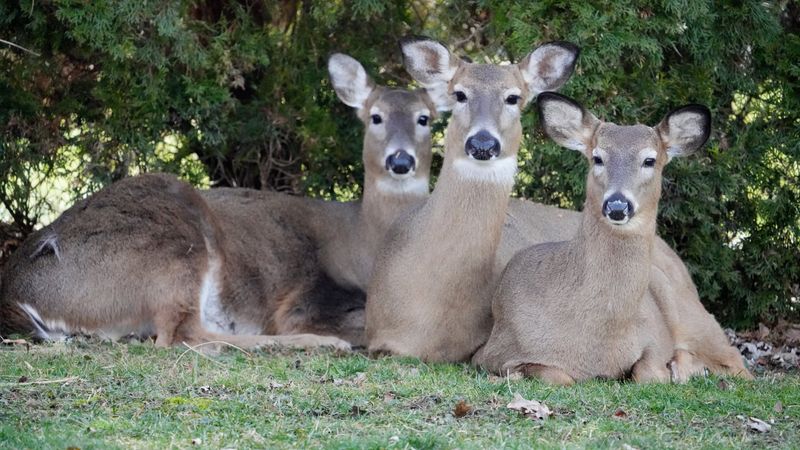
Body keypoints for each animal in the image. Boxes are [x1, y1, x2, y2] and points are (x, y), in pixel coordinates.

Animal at [0, 53, 436, 351]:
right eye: (375, 117)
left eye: (425, 118)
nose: (400, 160)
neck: (365, 242)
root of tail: (17, 291)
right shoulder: (305, 303)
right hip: (171, 244)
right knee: (182, 334)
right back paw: (322, 345)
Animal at [473, 92, 753, 383]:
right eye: (597, 158)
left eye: (649, 160)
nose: (617, 204)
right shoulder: (491, 352)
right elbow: (555, 376)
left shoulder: (655, 337)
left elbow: (648, 374)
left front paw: (671, 370)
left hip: (691, 314)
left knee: (738, 363)